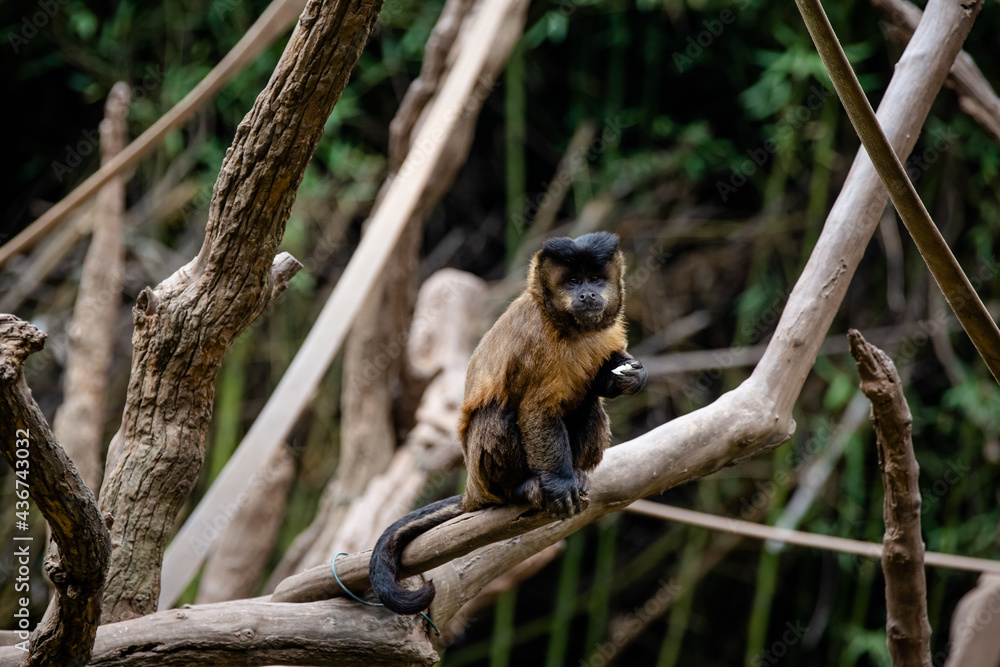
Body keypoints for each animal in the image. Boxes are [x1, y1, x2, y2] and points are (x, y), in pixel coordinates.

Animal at [368, 231, 647, 616]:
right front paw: (559, 485)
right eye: (573, 282)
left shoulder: (610, 330)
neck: (568, 328)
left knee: (588, 404)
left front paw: (630, 376)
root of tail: (474, 489)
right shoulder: (537, 341)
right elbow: (535, 412)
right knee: (499, 413)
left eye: (594, 278)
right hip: (485, 473)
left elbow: (602, 382)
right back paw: (522, 489)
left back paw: (578, 471)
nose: (587, 294)